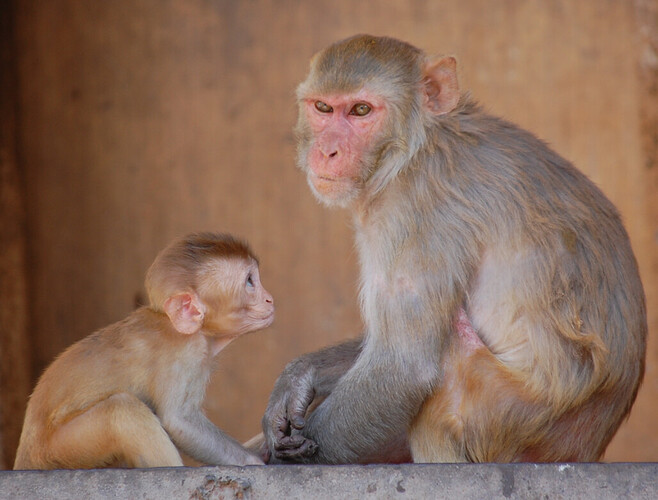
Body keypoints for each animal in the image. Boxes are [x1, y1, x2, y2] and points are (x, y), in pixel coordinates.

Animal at [14, 232, 273, 470]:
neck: (169, 322)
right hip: (60, 450)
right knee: (122, 409)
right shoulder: (185, 354)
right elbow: (179, 420)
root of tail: (25, 456)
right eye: (250, 281)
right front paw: (254, 460)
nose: (269, 299)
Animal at [261, 35, 647, 464]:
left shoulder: (416, 212)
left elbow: (404, 366)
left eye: (361, 110)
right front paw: (297, 378)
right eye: (323, 108)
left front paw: (288, 459)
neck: (416, 146)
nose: (327, 150)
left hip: (495, 416)